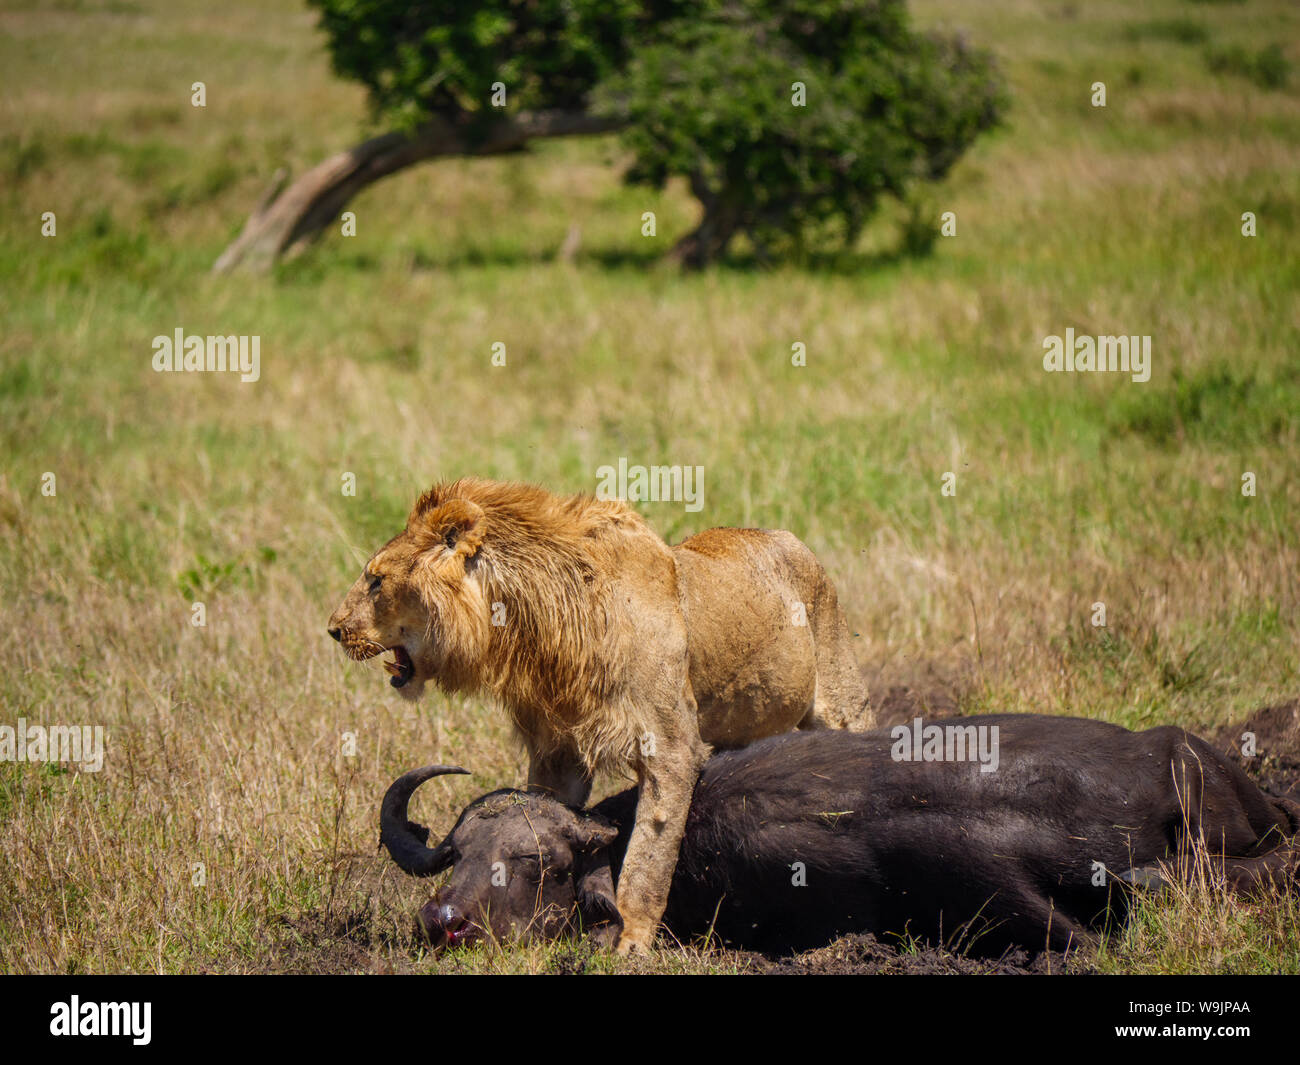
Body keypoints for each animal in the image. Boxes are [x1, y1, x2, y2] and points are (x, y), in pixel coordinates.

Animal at [327, 477, 873, 952]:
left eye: (376, 581)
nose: (333, 629)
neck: (535, 627)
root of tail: (783, 537)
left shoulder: (671, 748)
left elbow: (648, 856)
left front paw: (628, 941)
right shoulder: (557, 752)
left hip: (840, 695)